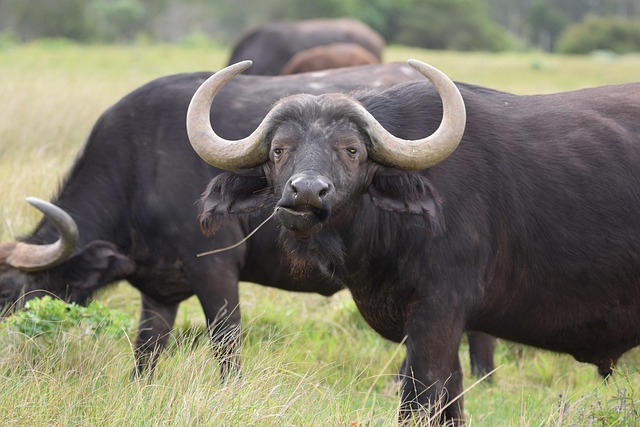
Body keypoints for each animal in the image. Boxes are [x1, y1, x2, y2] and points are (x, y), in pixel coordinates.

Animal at [1, 62, 495, 380]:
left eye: (8, 290)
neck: (139, 166)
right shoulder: (158, 291)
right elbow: (146, 352)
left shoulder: (214, 268)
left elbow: (226, 344)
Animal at [187, 59, 640, 424]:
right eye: (280, 150)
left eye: (352, 150)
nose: (307, 193)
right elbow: (449, 406)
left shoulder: (437, 316)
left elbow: (416, 402)